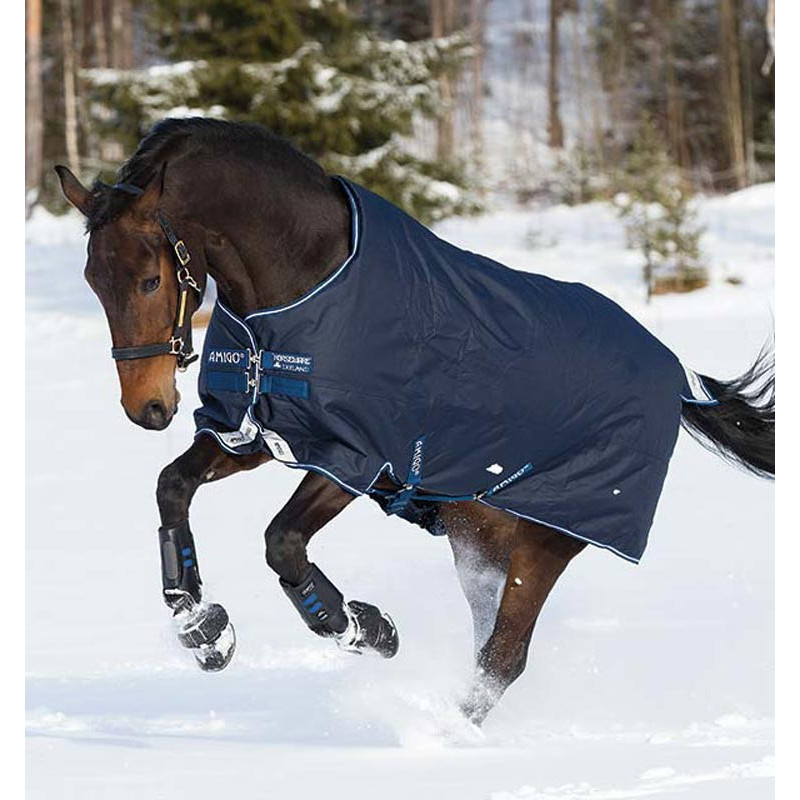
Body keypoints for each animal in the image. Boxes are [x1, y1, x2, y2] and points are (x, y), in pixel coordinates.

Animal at [55, 118, 774, 725]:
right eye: (92, 280)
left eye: (150, 280)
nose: (147, 408)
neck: (302, 285)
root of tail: (674, 374)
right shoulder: (253, 432)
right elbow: (172, 488)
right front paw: (205, 630)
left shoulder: (350, 456)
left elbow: (282, 542)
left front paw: (364, 626)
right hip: (479, 536)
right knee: (490, 645)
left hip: (548, 539)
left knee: (503, 657)